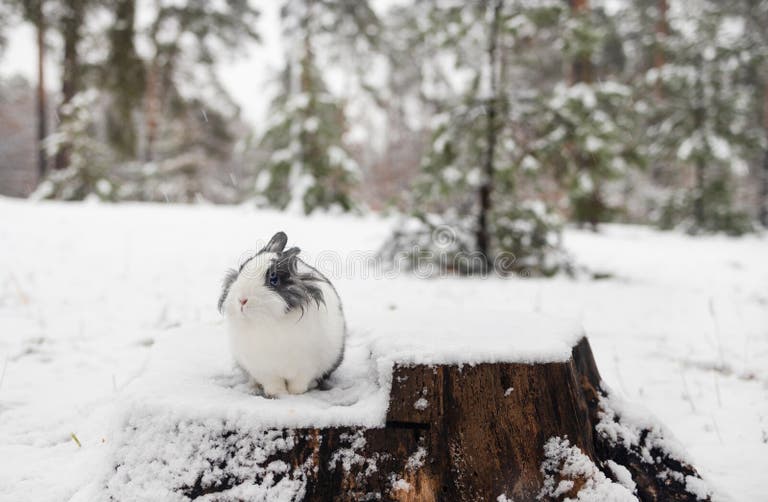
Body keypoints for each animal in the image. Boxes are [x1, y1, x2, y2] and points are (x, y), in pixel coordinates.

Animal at [217, 231, 346, 397]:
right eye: (241, 269)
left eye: (274, 279)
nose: (241, 300)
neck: (268, 322)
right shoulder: (263, 369)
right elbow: (273, 384)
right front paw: (278, 394)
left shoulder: (306, 368)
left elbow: (298, 384)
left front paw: (295, 394)